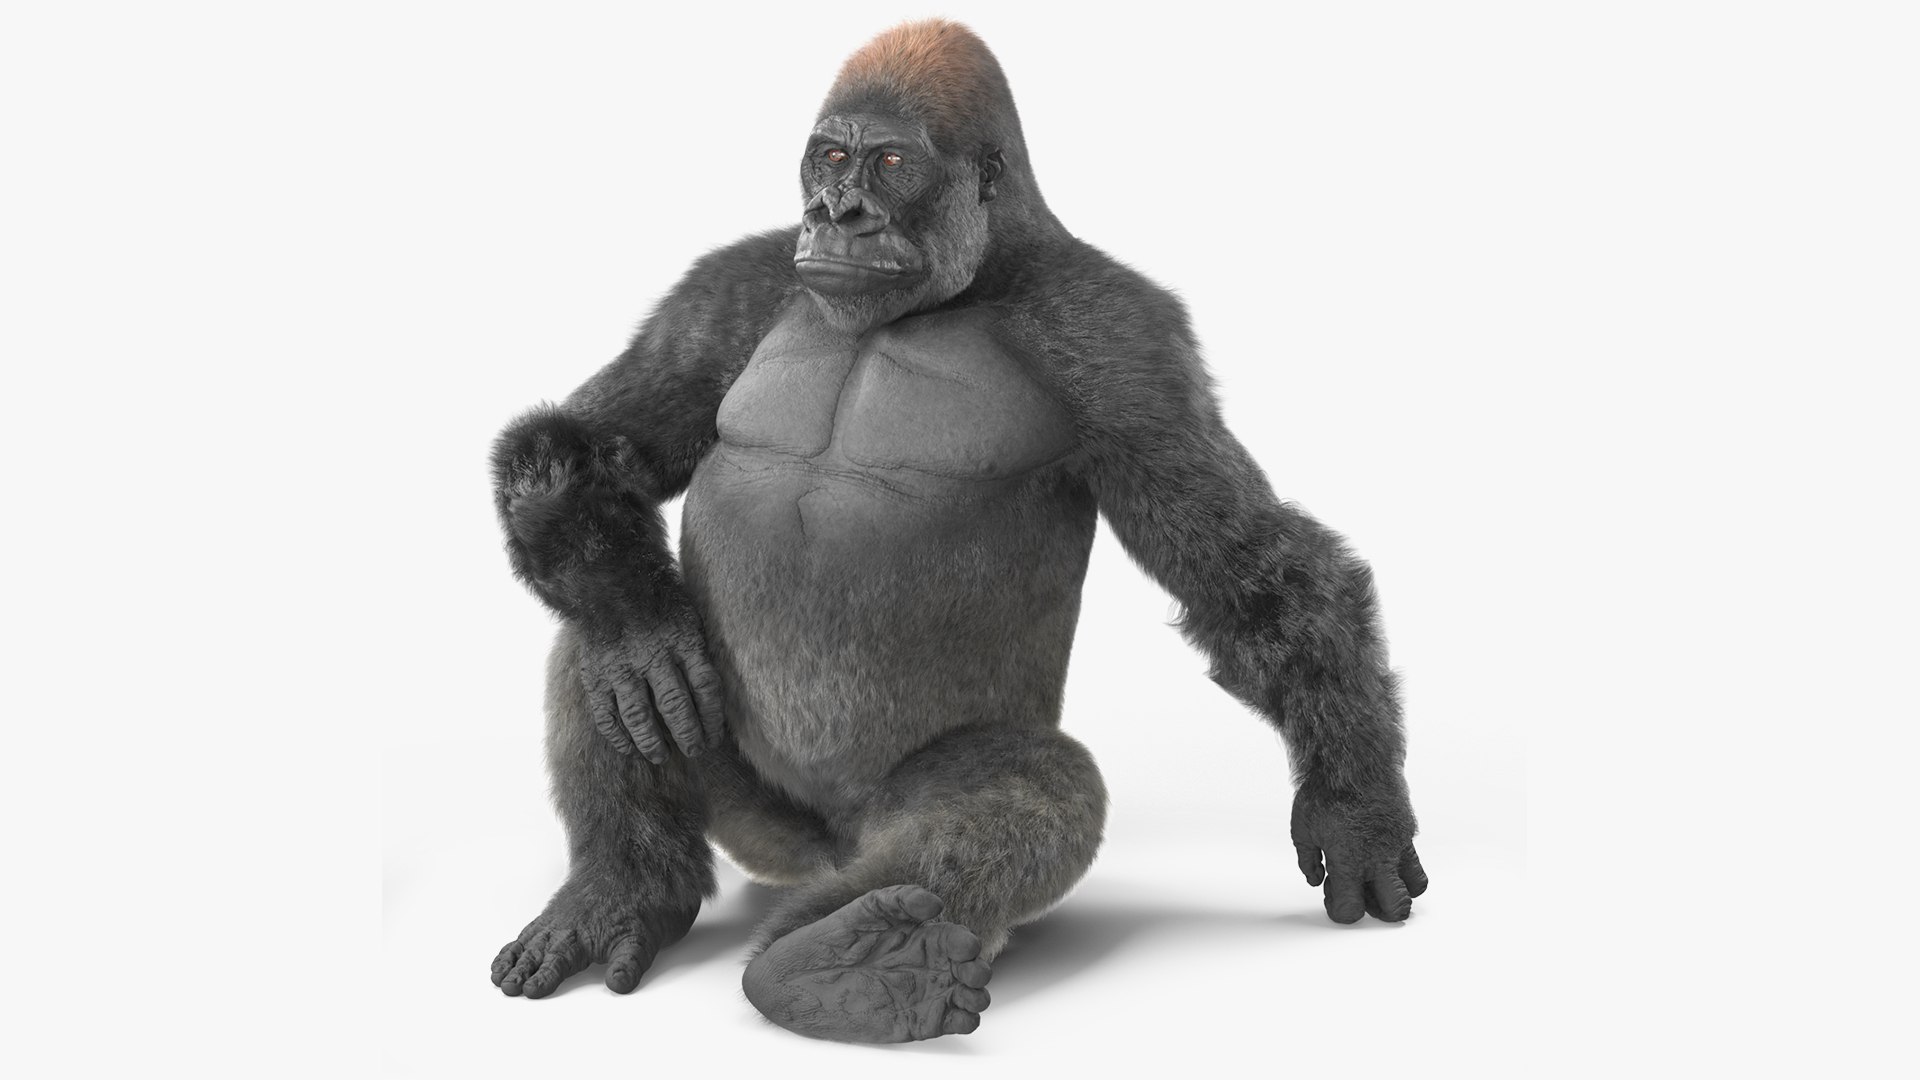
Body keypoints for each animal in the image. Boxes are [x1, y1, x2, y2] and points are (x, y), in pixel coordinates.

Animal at [486, 19, 1427, 1043]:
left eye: (892, 163)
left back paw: (844, 962)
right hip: (754, 822)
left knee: (1023, 787)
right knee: (604, 649)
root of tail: (825, 851)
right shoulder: (729, 284)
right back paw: (629, 876)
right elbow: (587, 450)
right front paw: (634, 626)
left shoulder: (1118, 334)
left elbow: (1250, 574)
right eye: (830, 157)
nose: (837, 212)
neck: (973, 277)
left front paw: (1355, 803)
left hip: (864, 831)